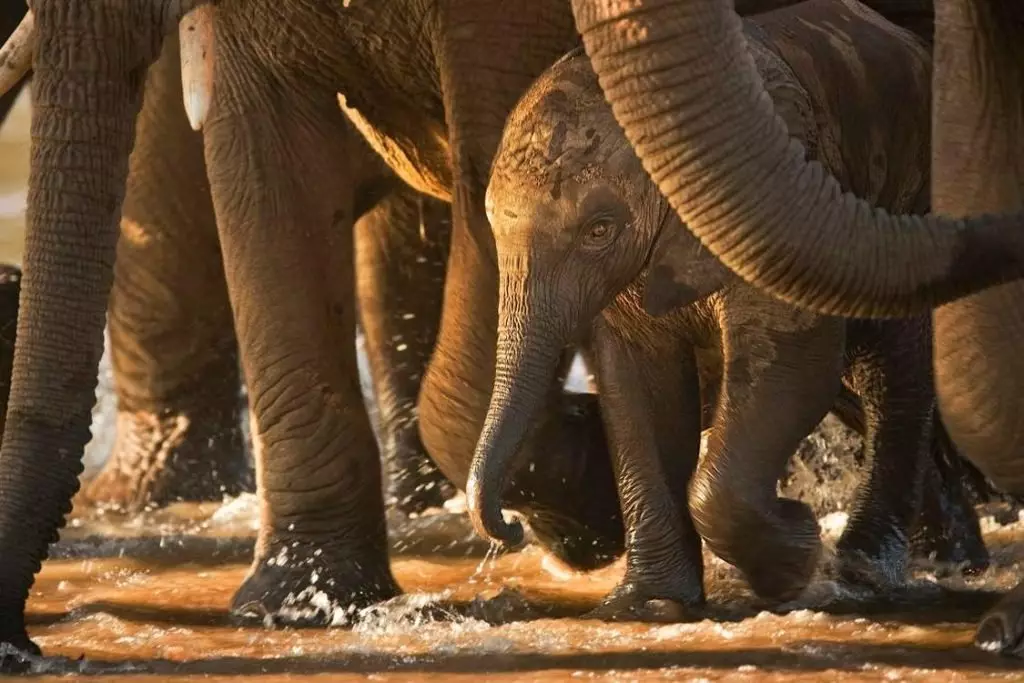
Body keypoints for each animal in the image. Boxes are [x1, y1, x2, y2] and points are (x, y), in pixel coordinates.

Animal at [468, 0, 958, 618]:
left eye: (599, 230)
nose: (508, 528)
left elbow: (788, 367)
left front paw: (793, 562)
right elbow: (640, 387)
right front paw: (649, 606)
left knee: (888, 372)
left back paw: (866, 573)